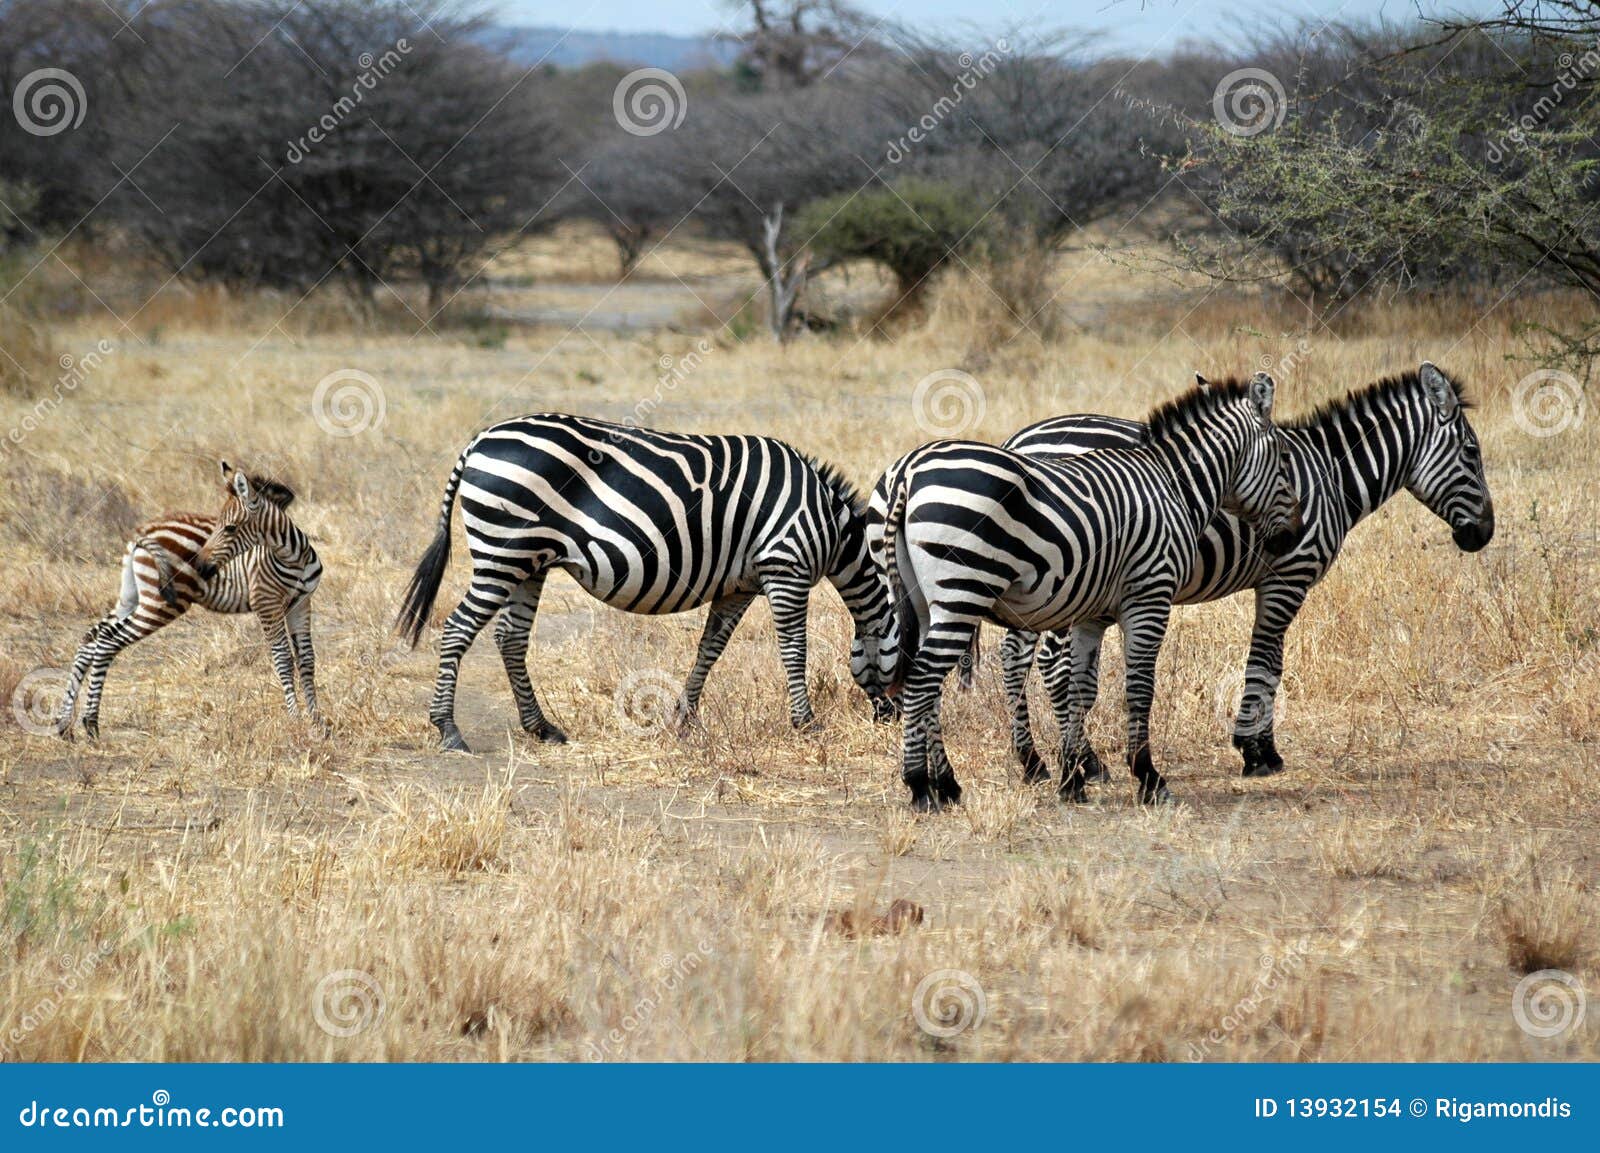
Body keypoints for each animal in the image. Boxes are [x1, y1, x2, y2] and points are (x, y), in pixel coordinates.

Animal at [54, 463, 324, 738]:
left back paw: (66, 724)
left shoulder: (301, 604)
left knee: (92, 638)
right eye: (218, 525)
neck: (293, 558)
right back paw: (90, 723)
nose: (201, 567)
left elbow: (307, 660)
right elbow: (283, 660)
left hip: (130, 599)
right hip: (160, 604)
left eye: (230, 528)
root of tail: (141, 536)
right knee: (108, 641)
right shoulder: (266, 603)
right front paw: (296, 719)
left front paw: (316, 719)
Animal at [395, 413, 898, 754]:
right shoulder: (785, 568)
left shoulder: (740, 585)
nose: (891, 720)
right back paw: (448, 729)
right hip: (504, 551)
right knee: (458, 628)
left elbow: (710, 649)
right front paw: (806, 723)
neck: (831, 527)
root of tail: (481, 438)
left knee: (509, 637)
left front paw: (684, 719)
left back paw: (542, 727)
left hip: (529, 561)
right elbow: (794, 649)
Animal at [879, 372, 1303, 810]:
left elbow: (1078, 688)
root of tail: (909, 472)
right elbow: (1139, 688)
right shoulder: (1150, 595)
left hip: (925, 603)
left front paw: (1072, 779)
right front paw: (1148, 777)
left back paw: (946, 785)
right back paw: (920, 786)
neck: (1174, 488)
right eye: (1285, 456)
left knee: (923, 683)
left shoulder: (1090, 614)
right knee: (922, 680)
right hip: (961, 595)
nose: (1295, 535)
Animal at [988, 361, 1495, 782]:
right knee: (1052, 664)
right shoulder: (1288, 577)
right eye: (1472, 453)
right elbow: (1267, 661)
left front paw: (1257, 746)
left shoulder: (1273, 580)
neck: (1331, 477)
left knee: (1015, 655)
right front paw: (1258, 752)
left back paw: (1034, 763)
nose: (1483, 535)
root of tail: (1020, 439)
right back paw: (1084, 764)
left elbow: (1271, 660)